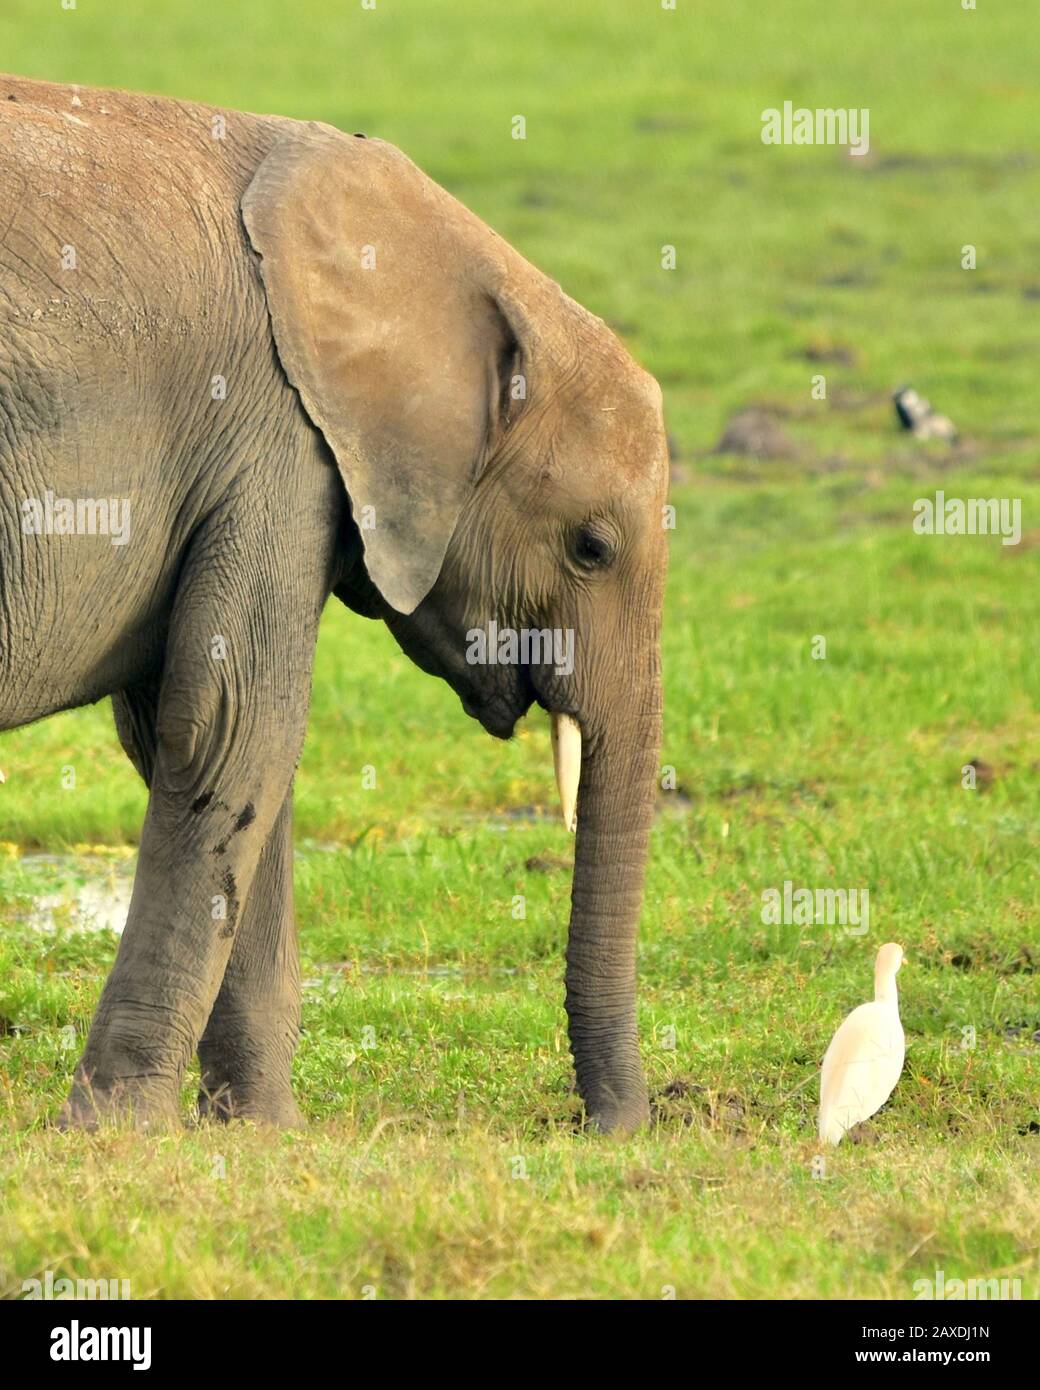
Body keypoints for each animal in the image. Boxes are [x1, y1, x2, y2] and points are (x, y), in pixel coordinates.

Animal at [0, 75, 667, 1135]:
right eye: (591, 549)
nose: (606, 1131)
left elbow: (214, 751)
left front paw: (259, 1134)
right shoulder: (274, 437)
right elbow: (235, 730)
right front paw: (120, 1134)